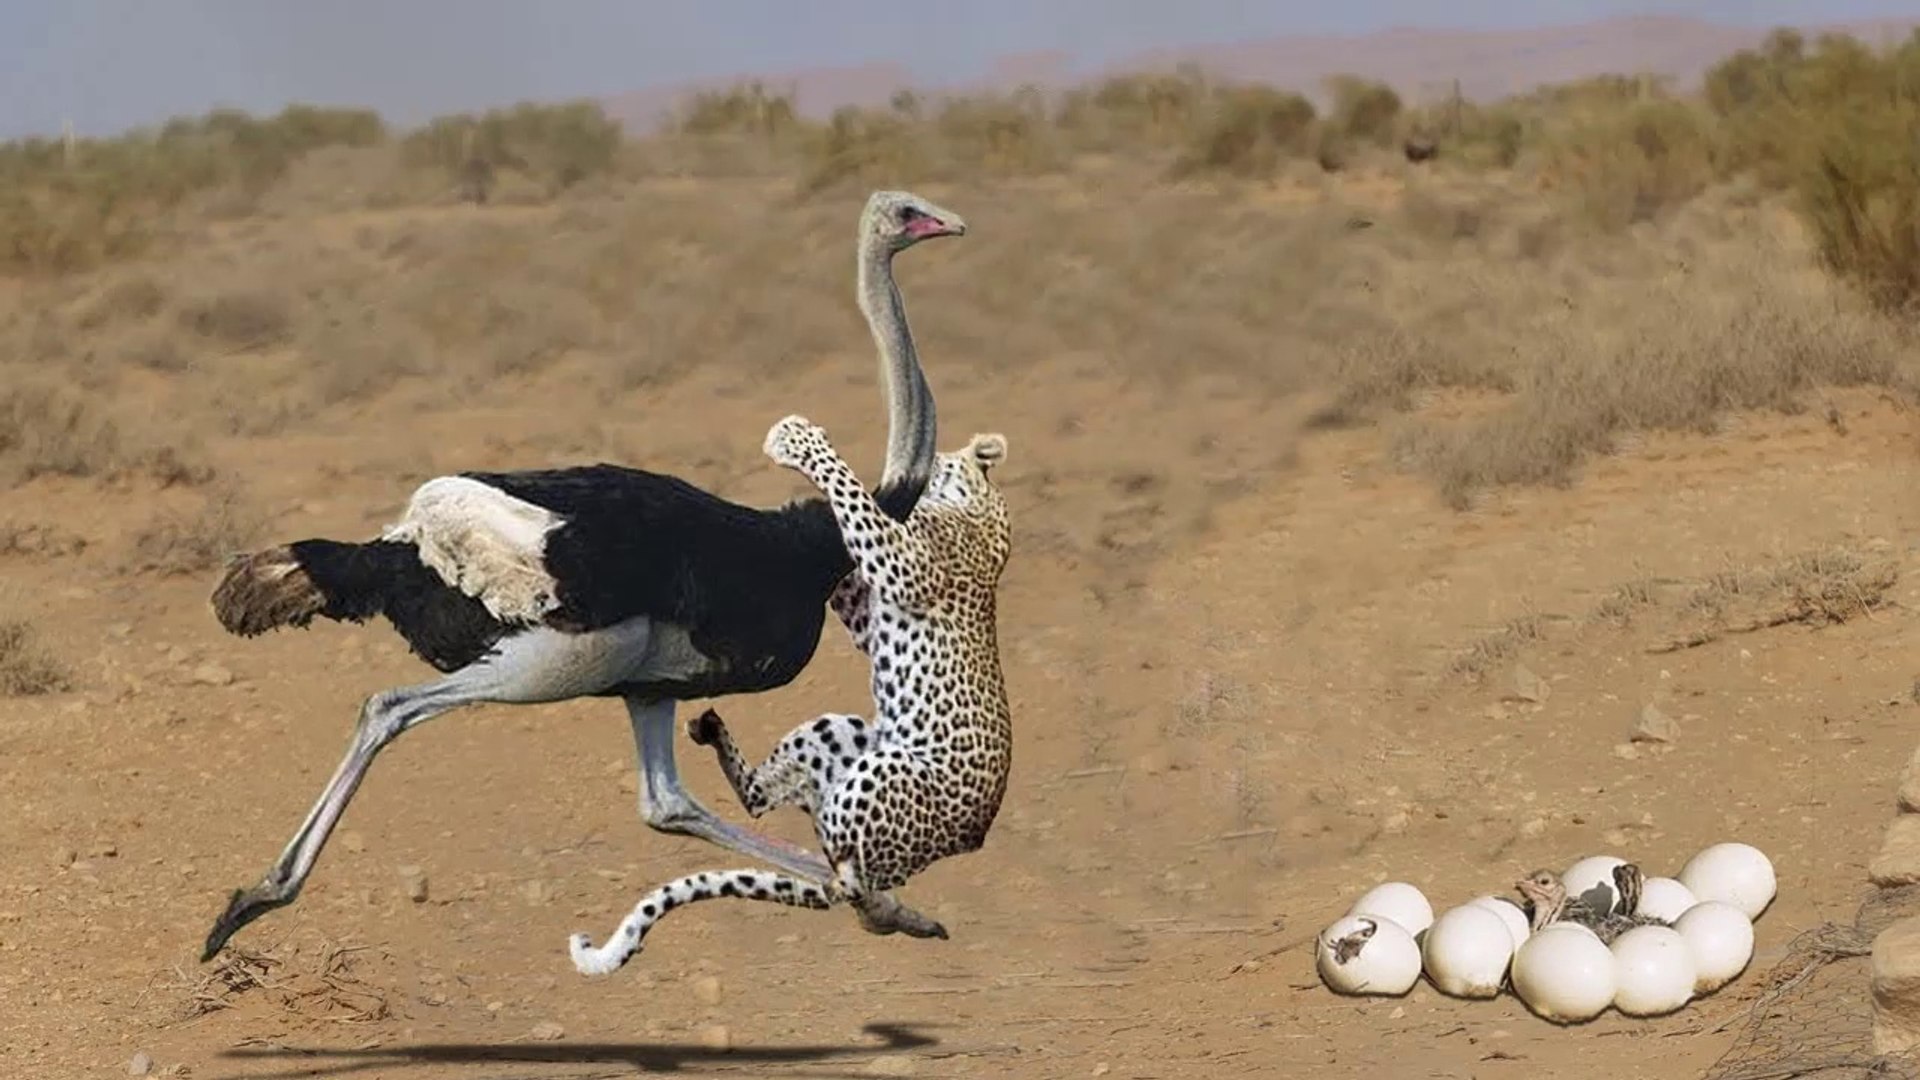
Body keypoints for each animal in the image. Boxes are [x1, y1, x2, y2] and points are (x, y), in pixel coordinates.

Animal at [568, 412, 1013, 975]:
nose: (922, 463)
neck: (978, 502)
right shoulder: (872, 601)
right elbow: (848, 548)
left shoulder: (907, 565)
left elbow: (851, 496)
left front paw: (800, 442)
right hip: (842, 732)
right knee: (770, 801)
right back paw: (709, 729)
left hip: (885, 773)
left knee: (839, 857)